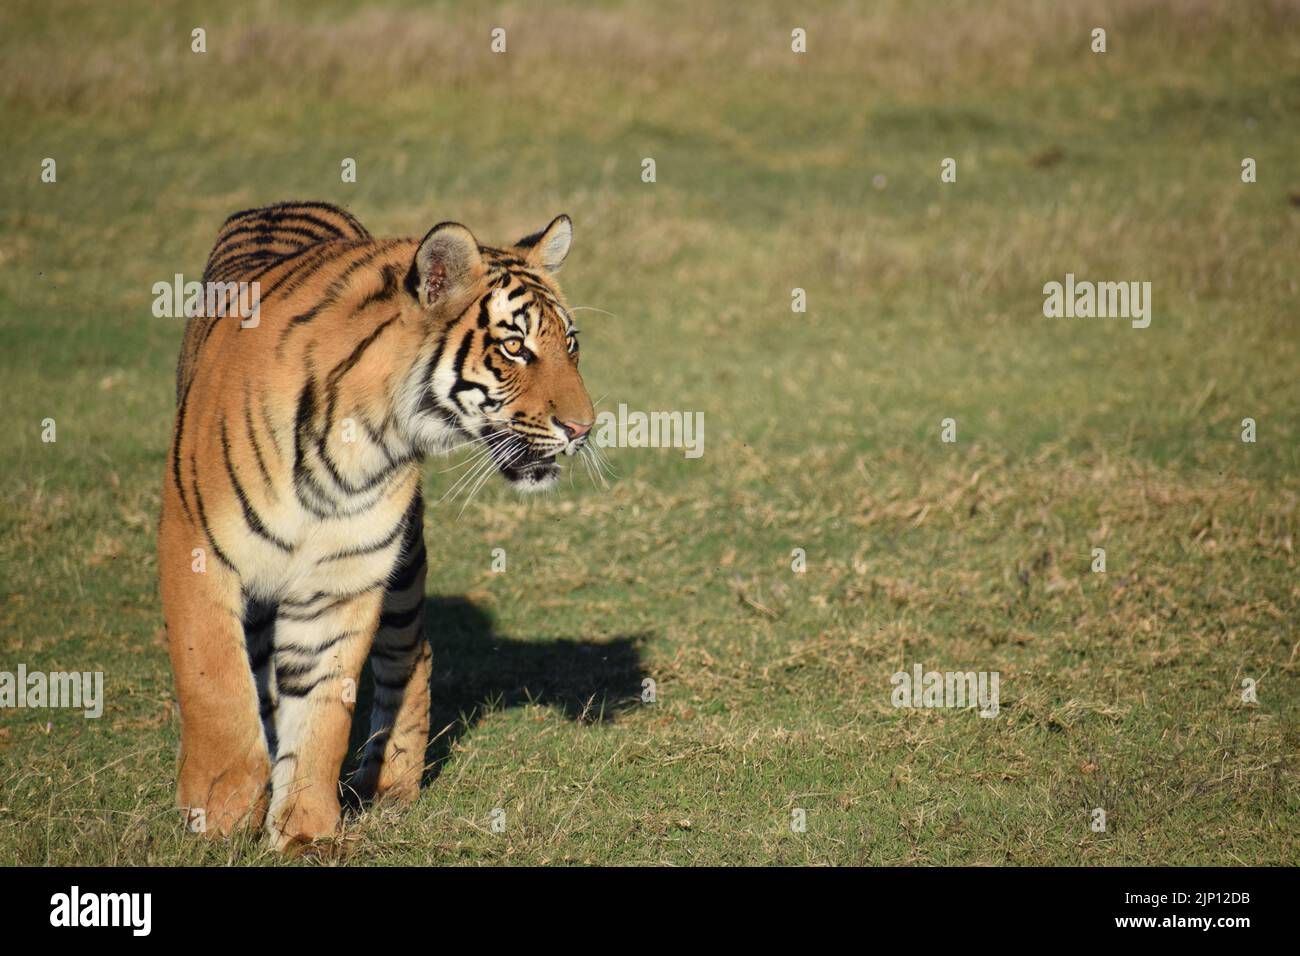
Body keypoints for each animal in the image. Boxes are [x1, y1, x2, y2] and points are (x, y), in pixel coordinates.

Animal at [159, 200, 595, 850]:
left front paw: (305, 835)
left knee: (412, 650)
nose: (584, 428)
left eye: (569, 343)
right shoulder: (195, 548)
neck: (365, 432)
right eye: (515, 347)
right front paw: (217, 814)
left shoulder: (343, 577)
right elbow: (215, 684)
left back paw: (389, 783)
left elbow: (321, 715)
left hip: (403, 560)